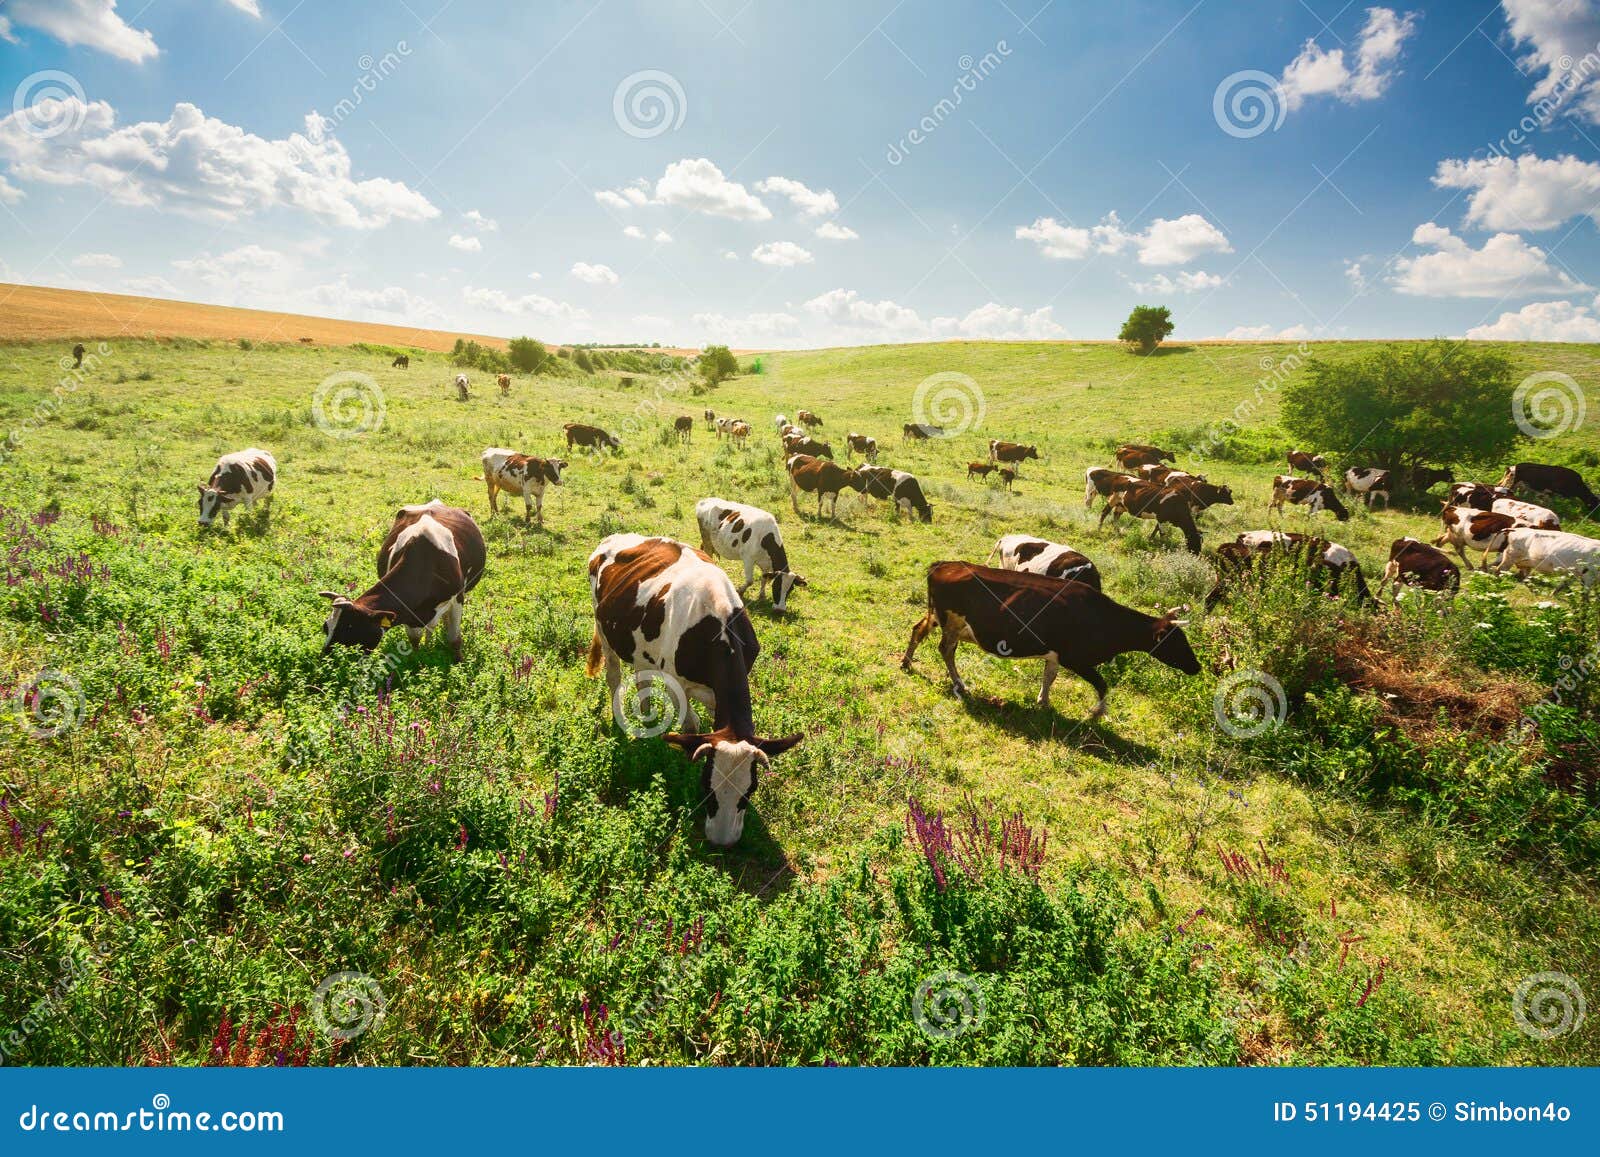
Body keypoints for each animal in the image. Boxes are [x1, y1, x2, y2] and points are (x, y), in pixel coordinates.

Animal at [320, 501, 485, 661]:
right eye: (326, 627)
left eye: (350, 629)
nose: (324, 658)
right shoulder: (407, 612)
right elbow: (415, 640)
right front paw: (419, 662)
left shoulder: (457, 599)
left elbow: (454, 639)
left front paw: (459, 662)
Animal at [585, 534, 803, 845]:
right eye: (707, 786)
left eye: (750, 791)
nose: (723, 842)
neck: (718, 625)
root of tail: (615, 538)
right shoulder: (676, 683)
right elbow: (691, 726)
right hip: (603, 627)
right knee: (614, 675)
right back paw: (621, 720)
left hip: (641, 649)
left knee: (641, 678)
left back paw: (646, 716)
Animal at [902, 562, 1199, 718]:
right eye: (1176, 642)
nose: (1197, 667)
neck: (1104, 617)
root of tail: (945, 565)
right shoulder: (1075, 658)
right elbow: (1103, 684)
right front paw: (1097, 713)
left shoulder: (1055, 655)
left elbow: (1049, 677)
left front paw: (1043, 701)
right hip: (952, 621)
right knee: (946, 650)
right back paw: (959, 683)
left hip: (937, 616)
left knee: (918, 630)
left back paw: (906, 663)